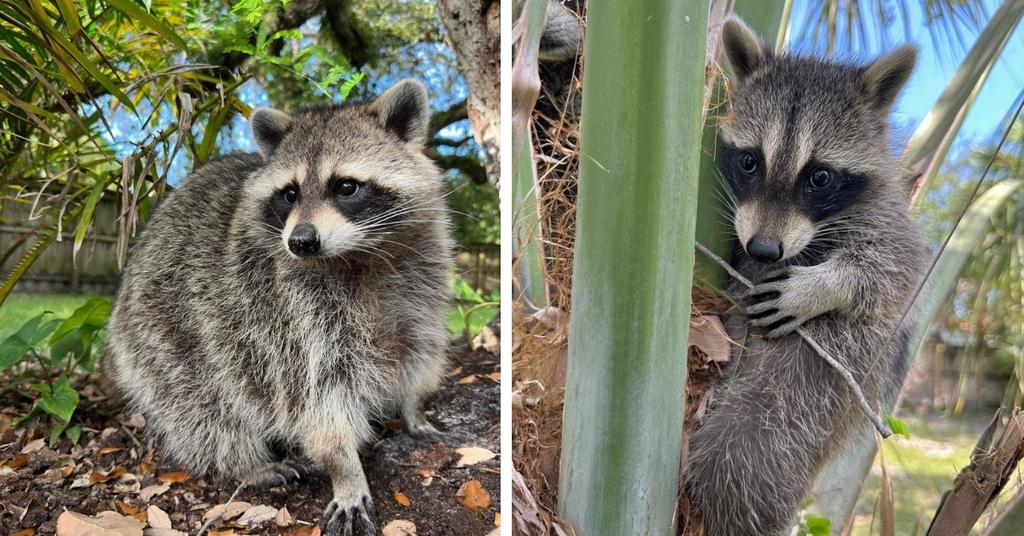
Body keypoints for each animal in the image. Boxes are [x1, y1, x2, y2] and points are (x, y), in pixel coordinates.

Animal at [106, 79, 452, 536]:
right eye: (290, 194)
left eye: (345, 187)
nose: (301, 241)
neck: (360, 256)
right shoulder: (285, 314)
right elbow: (314, 397)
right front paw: (345, 468)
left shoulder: (420, 285)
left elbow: (420, 351)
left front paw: (415, 407)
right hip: (163, 335)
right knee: (202, 408)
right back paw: (246, 465)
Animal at [682, 18, 927, 535]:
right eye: (749, 161)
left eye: (819, 177)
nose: (763, 248)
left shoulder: (888, 217)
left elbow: (894, 271)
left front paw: (819, 287)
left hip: (824, 387)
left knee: (745, 453)